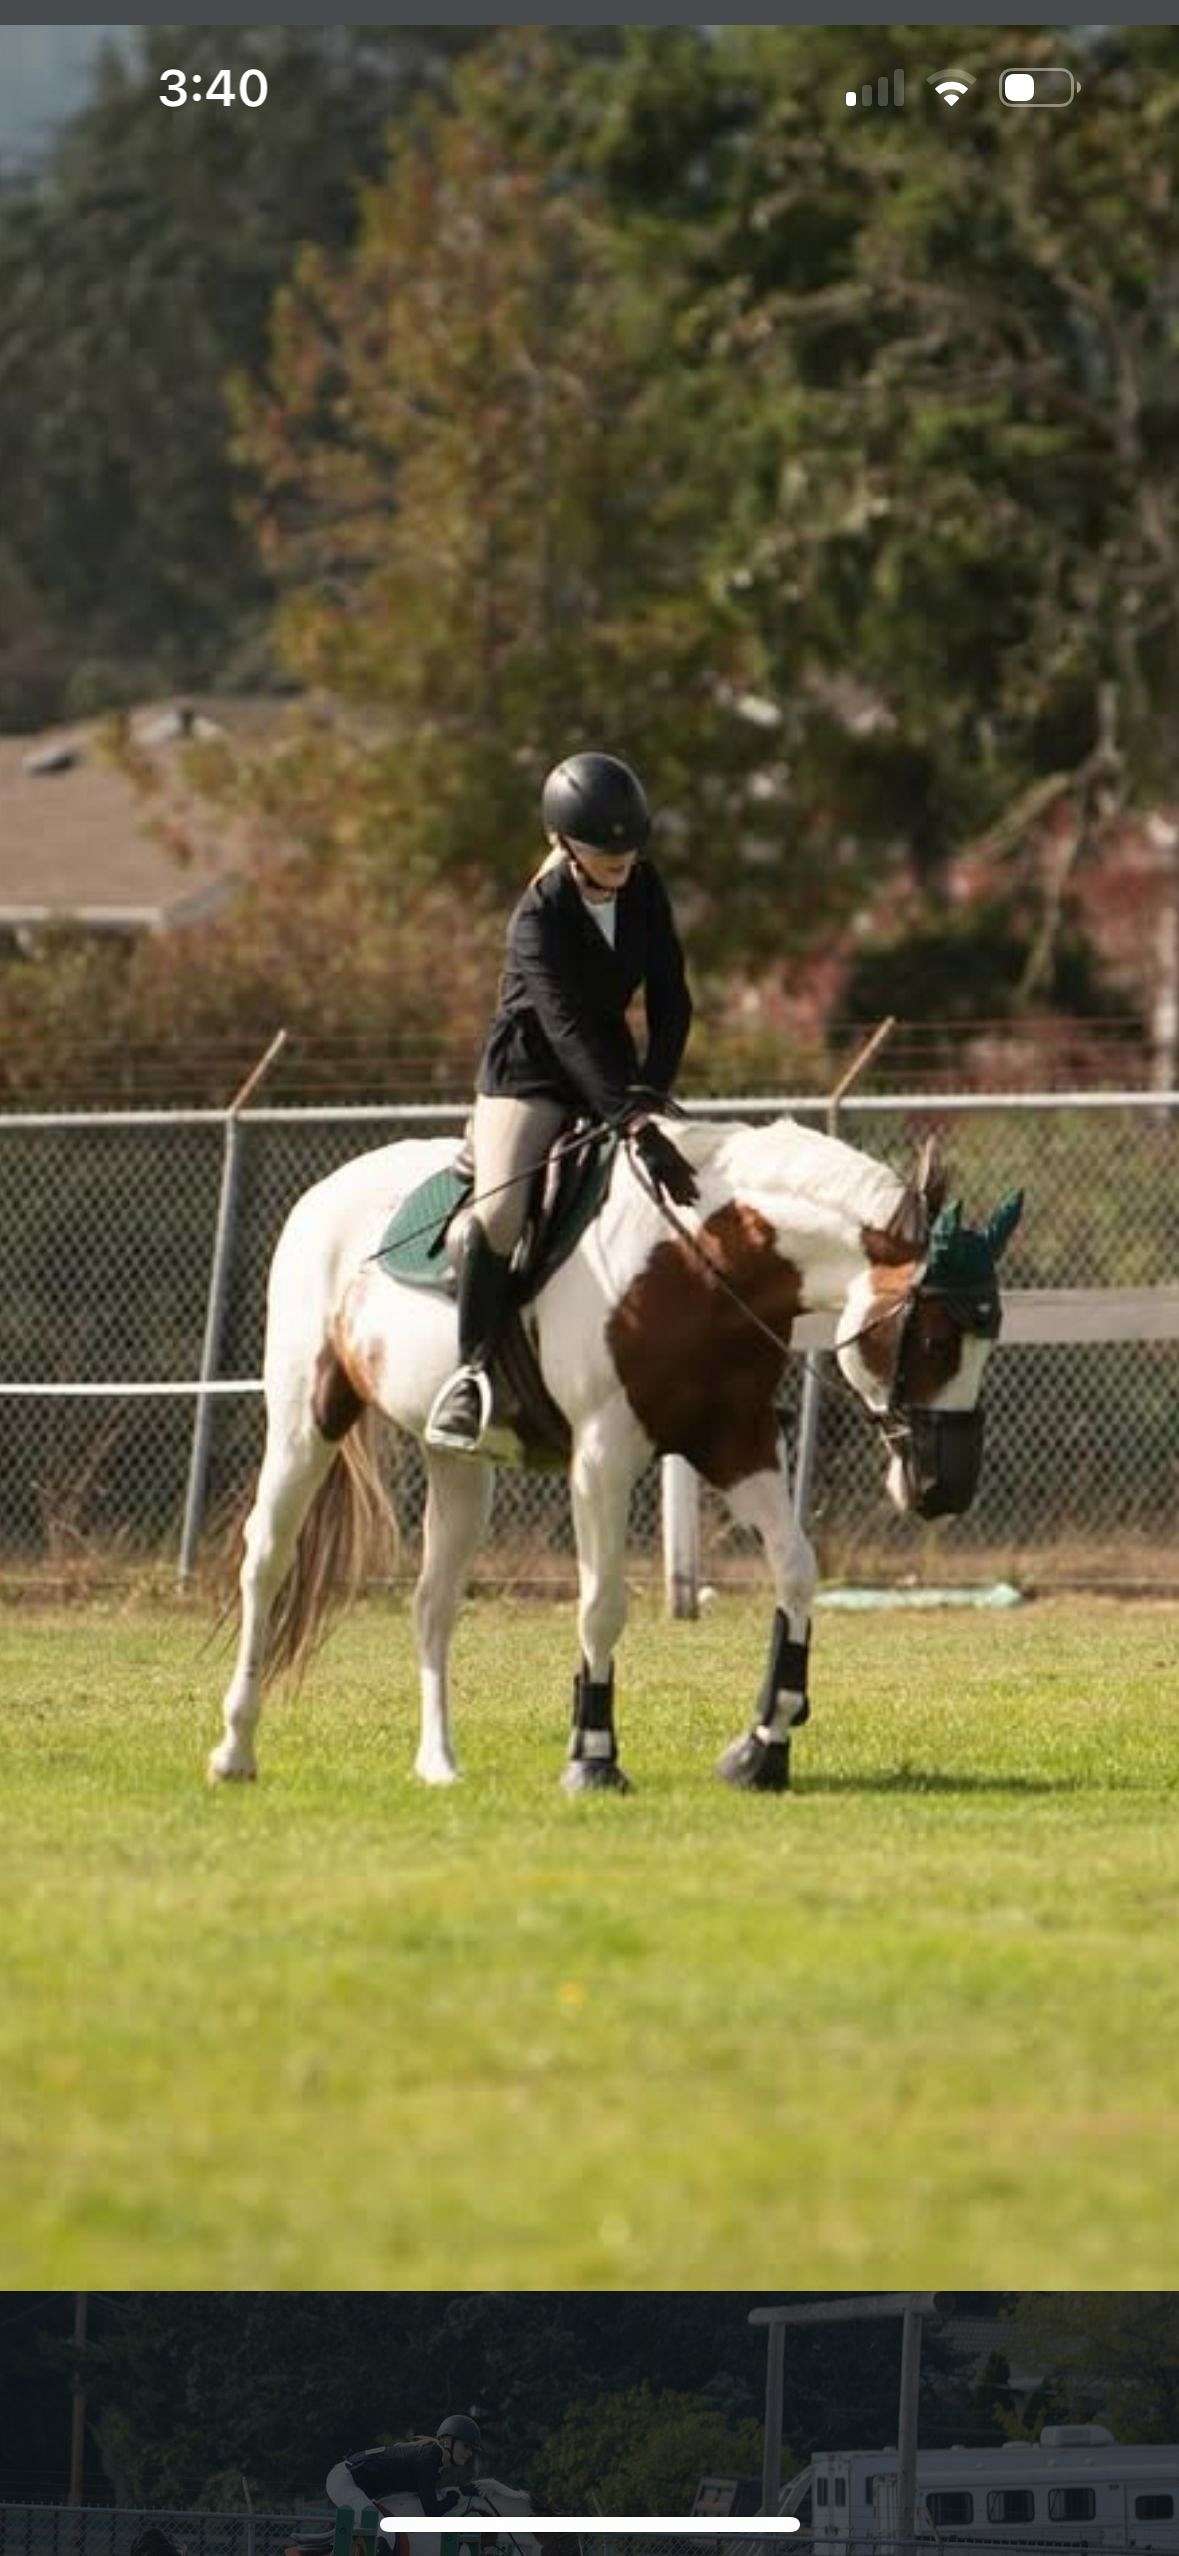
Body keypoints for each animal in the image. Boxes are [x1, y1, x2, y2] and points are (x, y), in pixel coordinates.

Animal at [208, 1112, 1023, 1795]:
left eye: (989, 1341)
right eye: (933, 1340)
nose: (943, 1488)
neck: (706, 1262)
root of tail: (324, 1193)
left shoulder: (736, 1442)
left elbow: (796, 1571)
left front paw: (763, 1746)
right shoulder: (602, 1457)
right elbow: (602, 1605)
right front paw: (592, 1758)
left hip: (458, 1465)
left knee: (432, 1603)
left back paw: (438, 1763)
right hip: (306, 1419)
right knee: (266, 1563)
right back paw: (235, 1750)